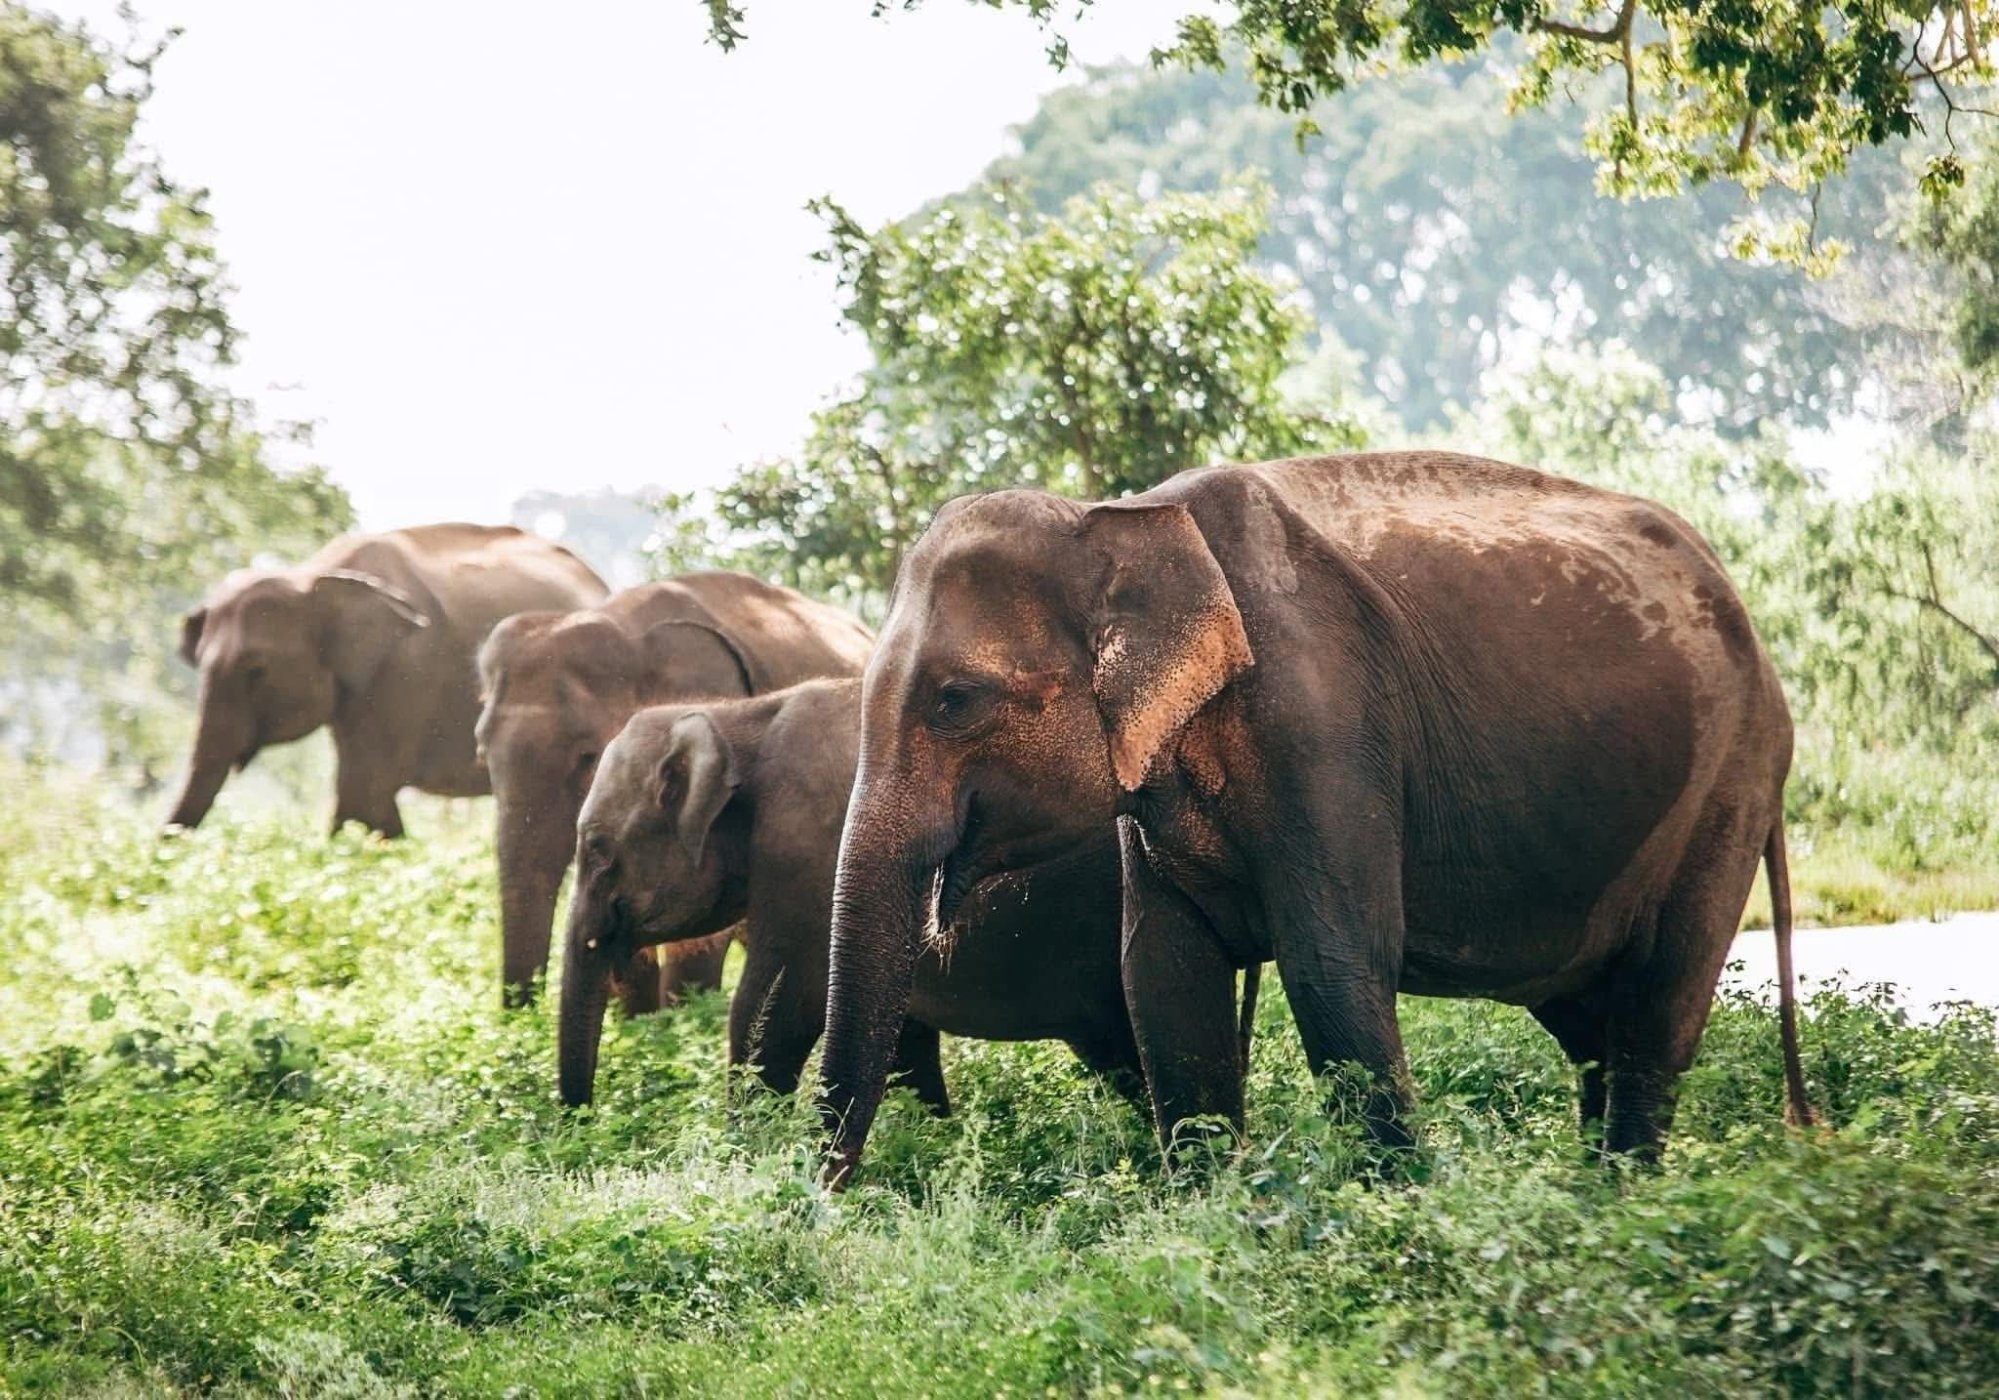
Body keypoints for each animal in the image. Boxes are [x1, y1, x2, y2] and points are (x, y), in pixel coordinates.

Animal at [558, 677, 1245, 1115]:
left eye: (597, 847)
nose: (582, 1122)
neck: (740, 717)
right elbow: (902, 1037)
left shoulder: (803, 863)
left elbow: (769, 1012)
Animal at [816, 450, 1814, 1186]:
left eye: (954, 700)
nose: (829, 1199)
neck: (1125, 518)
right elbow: (1162, 974)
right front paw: (1210, 1217)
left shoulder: (1323, 719)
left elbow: (1332, 964)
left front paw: (1399, 1214)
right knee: (1585, 1017)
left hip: (1728, 785)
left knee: (1656, 1001)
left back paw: (1620, 1195)